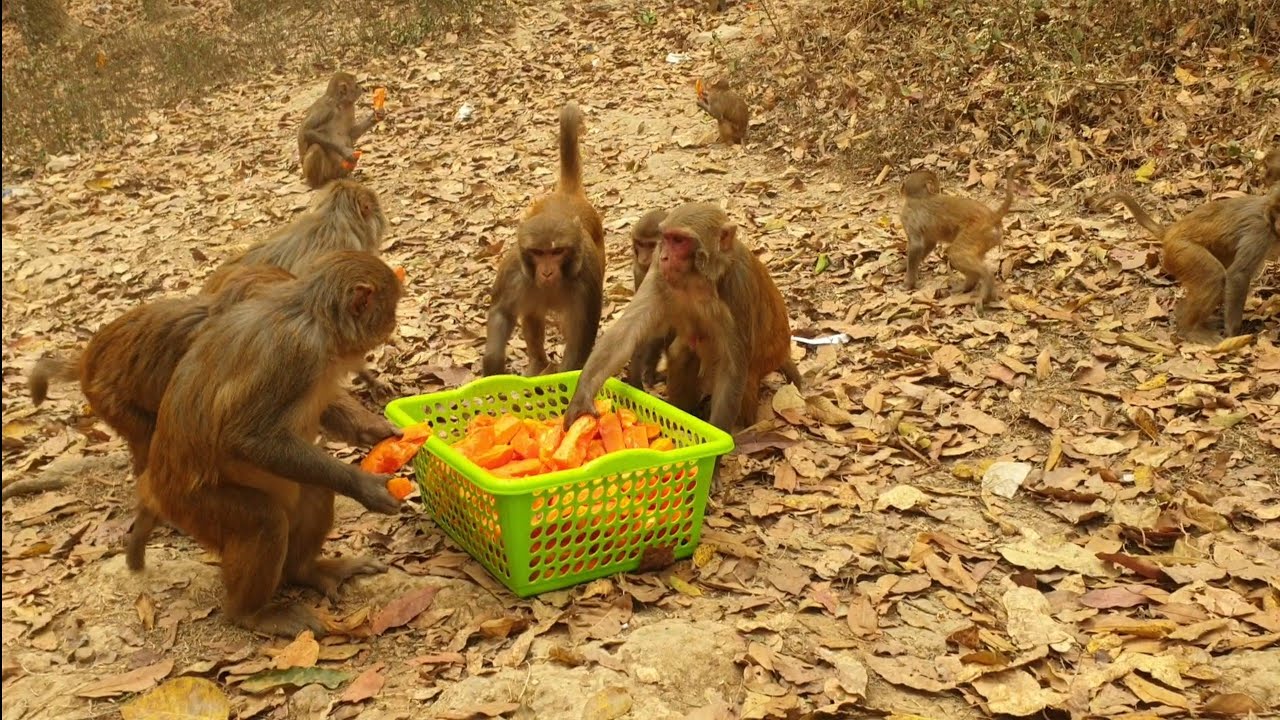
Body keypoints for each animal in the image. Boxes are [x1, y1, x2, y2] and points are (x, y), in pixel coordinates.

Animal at [136, 251, 404, 637]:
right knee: (265, 521)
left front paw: (379, 433)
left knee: (314, 490)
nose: (394, 322)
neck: (315, 320)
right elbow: (246, 438)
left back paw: (305, 570)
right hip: (194, 506)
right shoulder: (296, 354)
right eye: (389, 307)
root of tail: (156, 488)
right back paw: (250, 613)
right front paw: (363, 484)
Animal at [483, 102, 605, 378]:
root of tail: (567, 196)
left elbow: (580, 335)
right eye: (538, 253)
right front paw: (493, 365)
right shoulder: (513, 273)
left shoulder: (587, 280)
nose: (547, 272)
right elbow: (502, 313)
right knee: (532, 314)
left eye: (557, 251)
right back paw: (538, 362)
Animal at [900, 162, 1027, 313]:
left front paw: (908, 283)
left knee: (956, 254)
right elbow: (929, 243)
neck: (921, 196)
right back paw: (970, 285)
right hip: (988, 238)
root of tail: (991, 217)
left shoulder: (908, 215)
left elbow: (916, 246)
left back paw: (985, 282)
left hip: (974, 233)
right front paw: (905, 267)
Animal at [1099, 185, 1280, 342]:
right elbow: (1238, 275)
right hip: (1181, 251)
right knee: (1215, 277)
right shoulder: (1259, 229)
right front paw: (1233, 334)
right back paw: (1188, 328)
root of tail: (1171, 231)